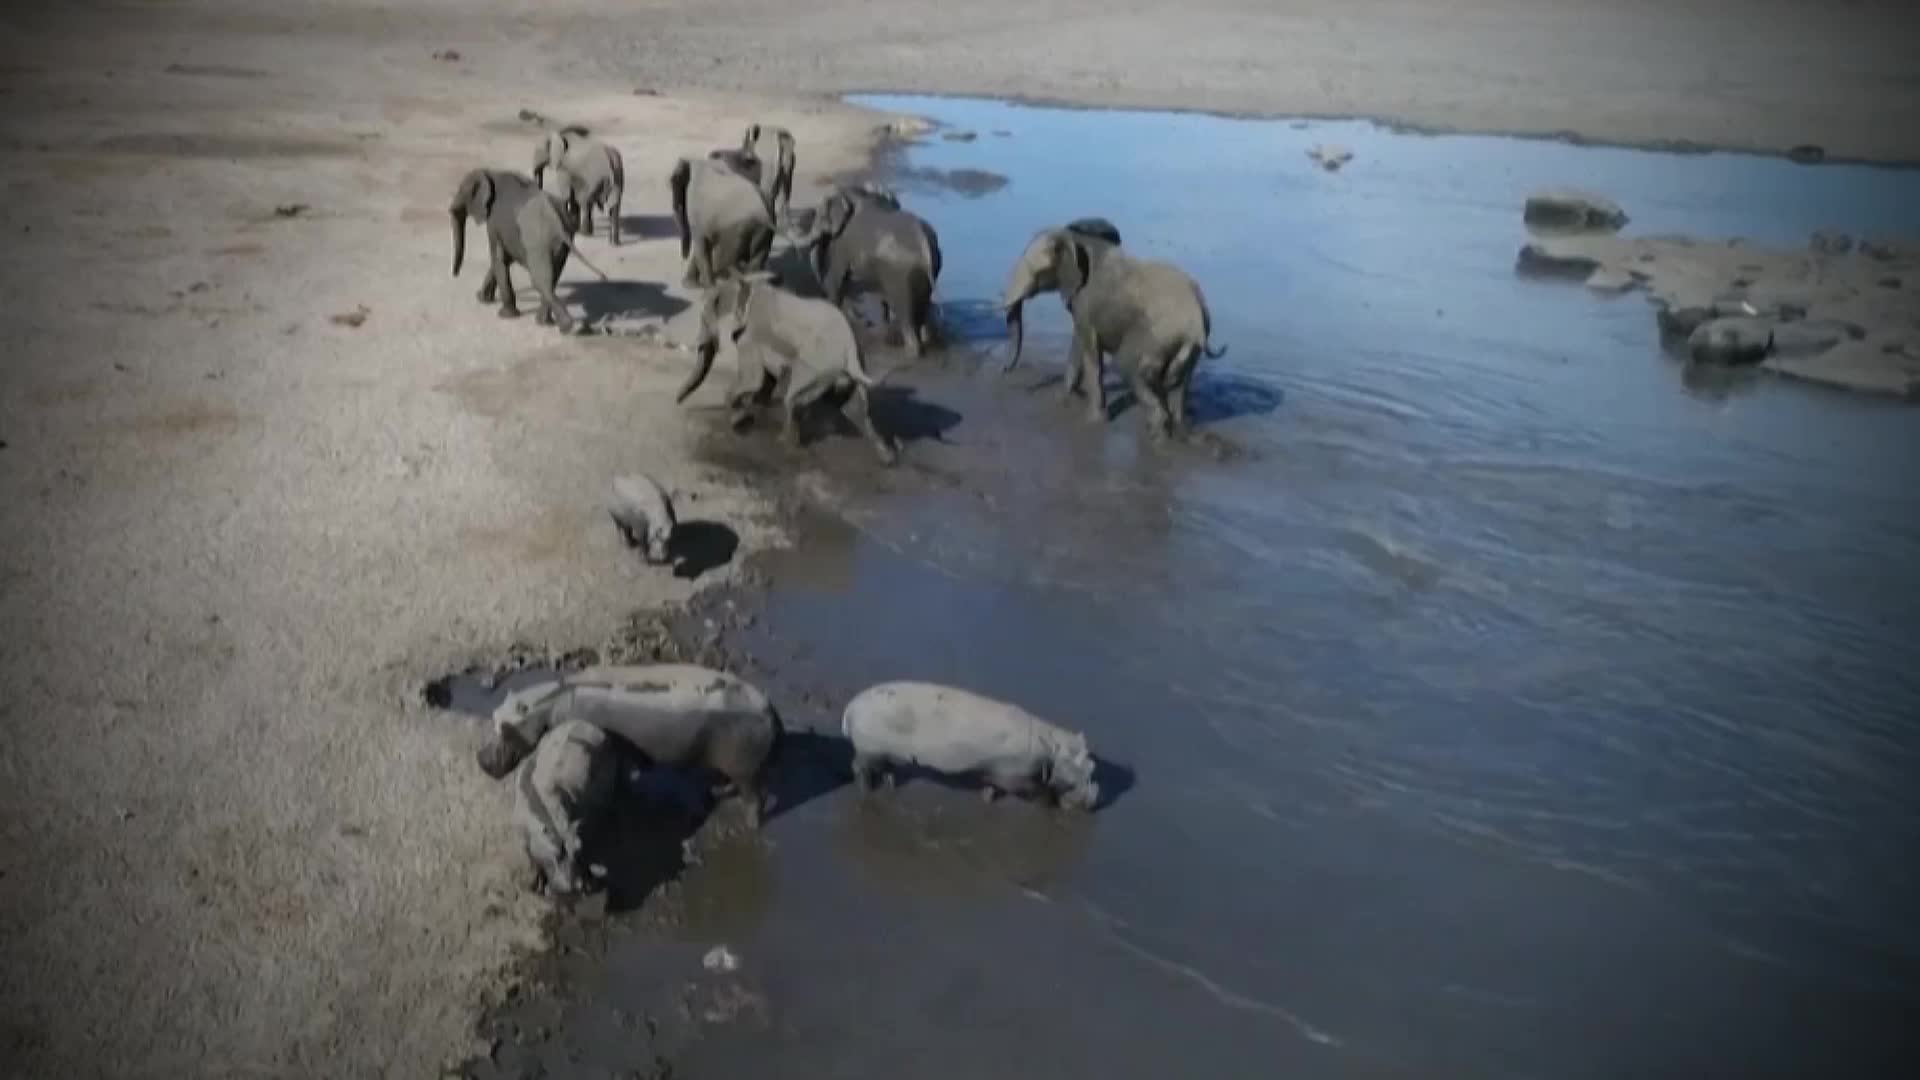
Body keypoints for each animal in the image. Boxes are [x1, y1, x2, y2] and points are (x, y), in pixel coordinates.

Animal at [479, 664, 782, 825]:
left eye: (506, 729)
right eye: (494, 717)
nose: (480, 759)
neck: (548, 704)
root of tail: (767, 707)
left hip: (745, 766)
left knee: (758, 797)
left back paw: (752, 826)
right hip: (737, 766)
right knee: (739, 786)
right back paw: (719, 792)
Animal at [516, 718, 620, 897]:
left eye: (577, 851)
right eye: (556, 856)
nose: (573, 887)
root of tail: (587, 723)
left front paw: (587, 881)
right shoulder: (525, 836)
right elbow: (531, 857)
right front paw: (537, 882)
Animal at [841, 682, 1099, 810]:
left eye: (1092, 766)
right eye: (1085, 767)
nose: (1094, 801)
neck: (1049, 753)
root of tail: (851, 708)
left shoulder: (999, 772)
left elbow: (990, 788)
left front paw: (986, 799)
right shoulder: (1014, 775)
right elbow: (1029, 790)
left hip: (879, 751)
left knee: (883, 768)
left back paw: (890, 785)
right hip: (868, 748)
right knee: (858, 767)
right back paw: (866, 792)